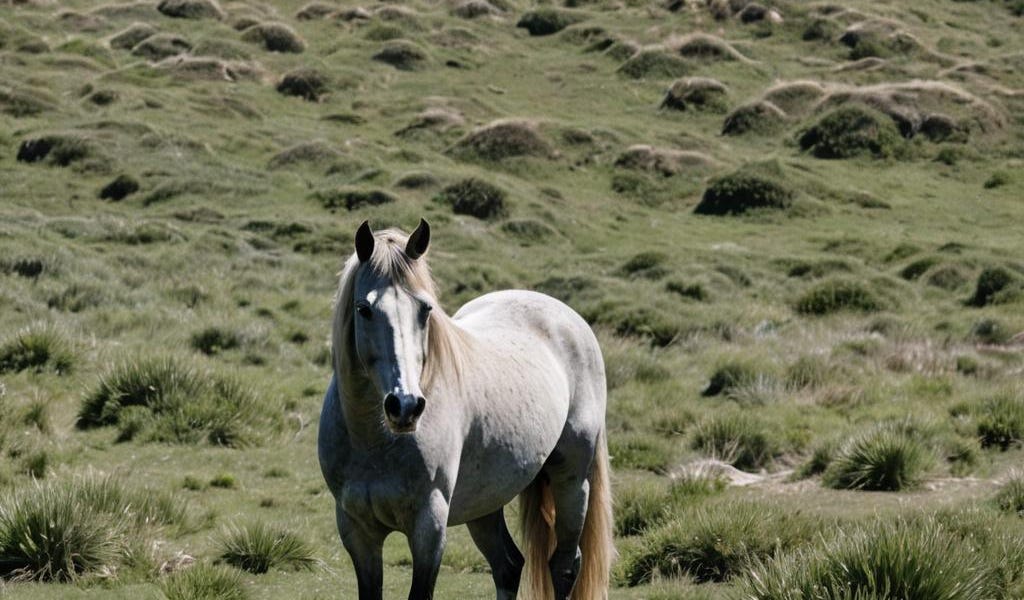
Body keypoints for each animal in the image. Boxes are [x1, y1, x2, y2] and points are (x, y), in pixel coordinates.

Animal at [317, 219, 613, 600]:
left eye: (425, 309)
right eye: (364, 310)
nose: (405, 406)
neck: (375, 442)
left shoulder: (429, 528)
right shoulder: (357, 531)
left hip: (572, 481)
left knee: (564, 566)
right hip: (485, 502)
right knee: (508, 566)